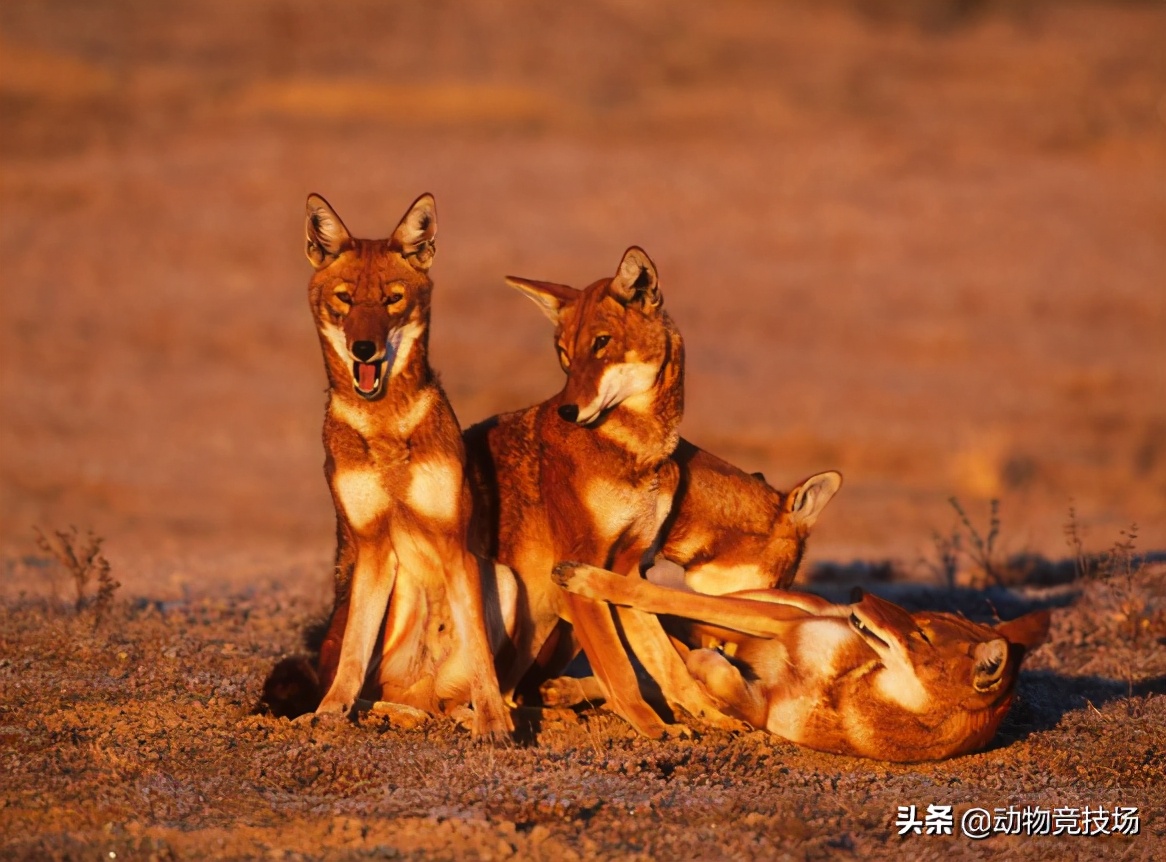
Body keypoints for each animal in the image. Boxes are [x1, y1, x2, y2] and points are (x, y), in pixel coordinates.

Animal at [303, 192, 512, 741]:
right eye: (346, 299)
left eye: (392, 299)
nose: (364, 349)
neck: (385, 430)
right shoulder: (373, 546)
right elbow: (352, 657)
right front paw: (328, 714)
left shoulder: (456, 544)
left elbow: (482, 656)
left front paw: (496, 725)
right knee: (385, 690)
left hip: (503, 579)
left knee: (443, 699)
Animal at [555, 561, 1051, 762]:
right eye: (922, 616)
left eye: (922, 633)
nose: (857, 595)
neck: (843, 687)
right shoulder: (785, 624)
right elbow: (657, 598)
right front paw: (586, 578)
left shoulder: (765, 712)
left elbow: (718, 677)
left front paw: (705, 673)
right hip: (777, 606)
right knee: (676, 605)